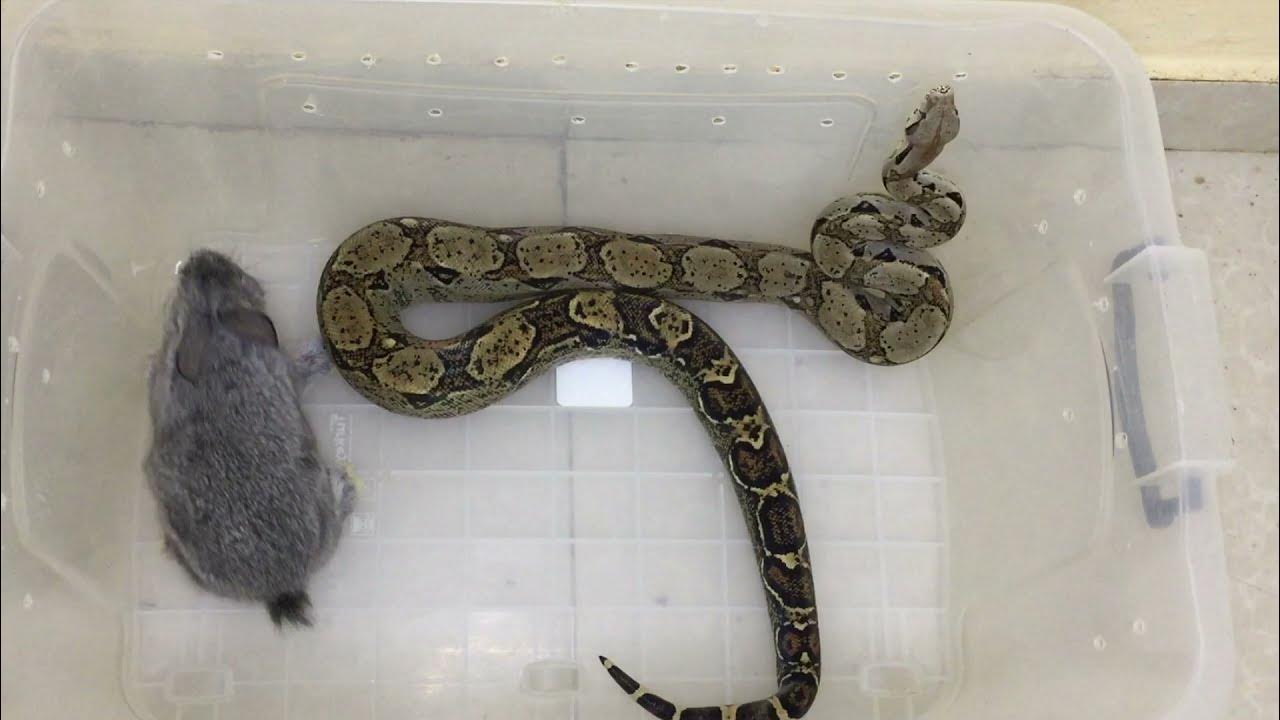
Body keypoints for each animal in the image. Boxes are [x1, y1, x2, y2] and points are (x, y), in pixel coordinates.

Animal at [143, 248, 355, 627]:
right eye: (242, 277)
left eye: (181, 285)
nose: (200, 257)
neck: (212, 323)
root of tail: (281, 586)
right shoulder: (284, 368)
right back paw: (344, 487)